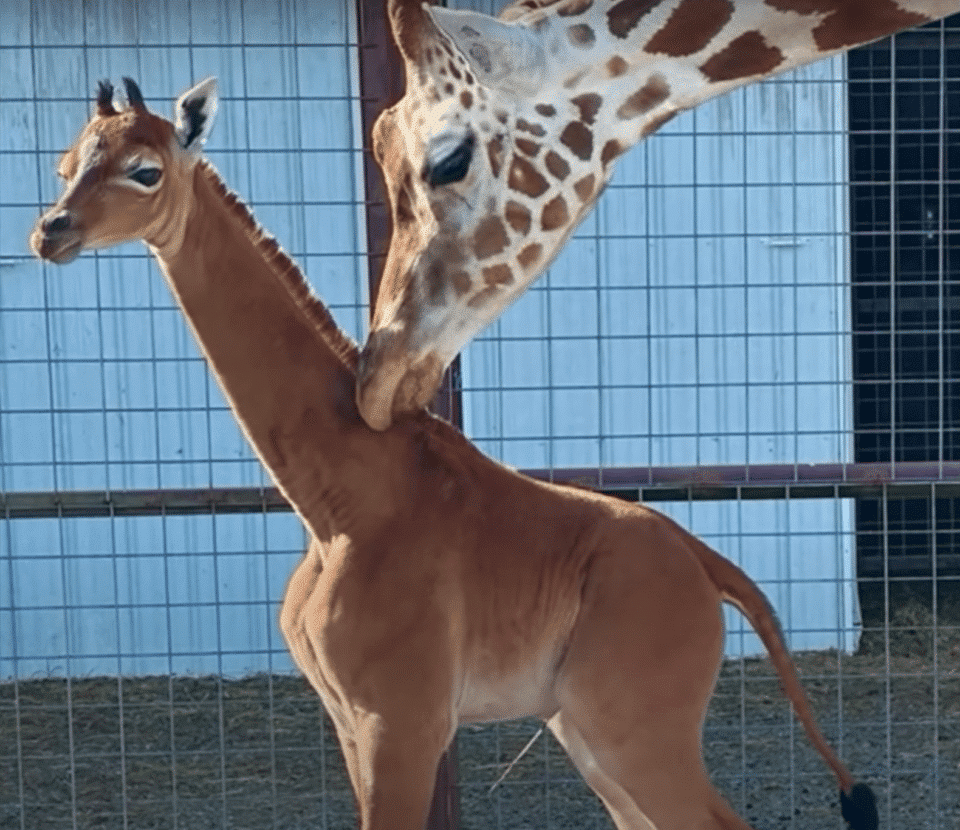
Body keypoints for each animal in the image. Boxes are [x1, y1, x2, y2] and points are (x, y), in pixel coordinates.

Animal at [29, 77, 882, 830]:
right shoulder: (351, 720)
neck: (338, 500)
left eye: (145, 170)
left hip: (633, 727)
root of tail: (708, 566)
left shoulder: (400, 719)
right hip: (587, 730)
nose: (50, 232)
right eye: (67, 164)